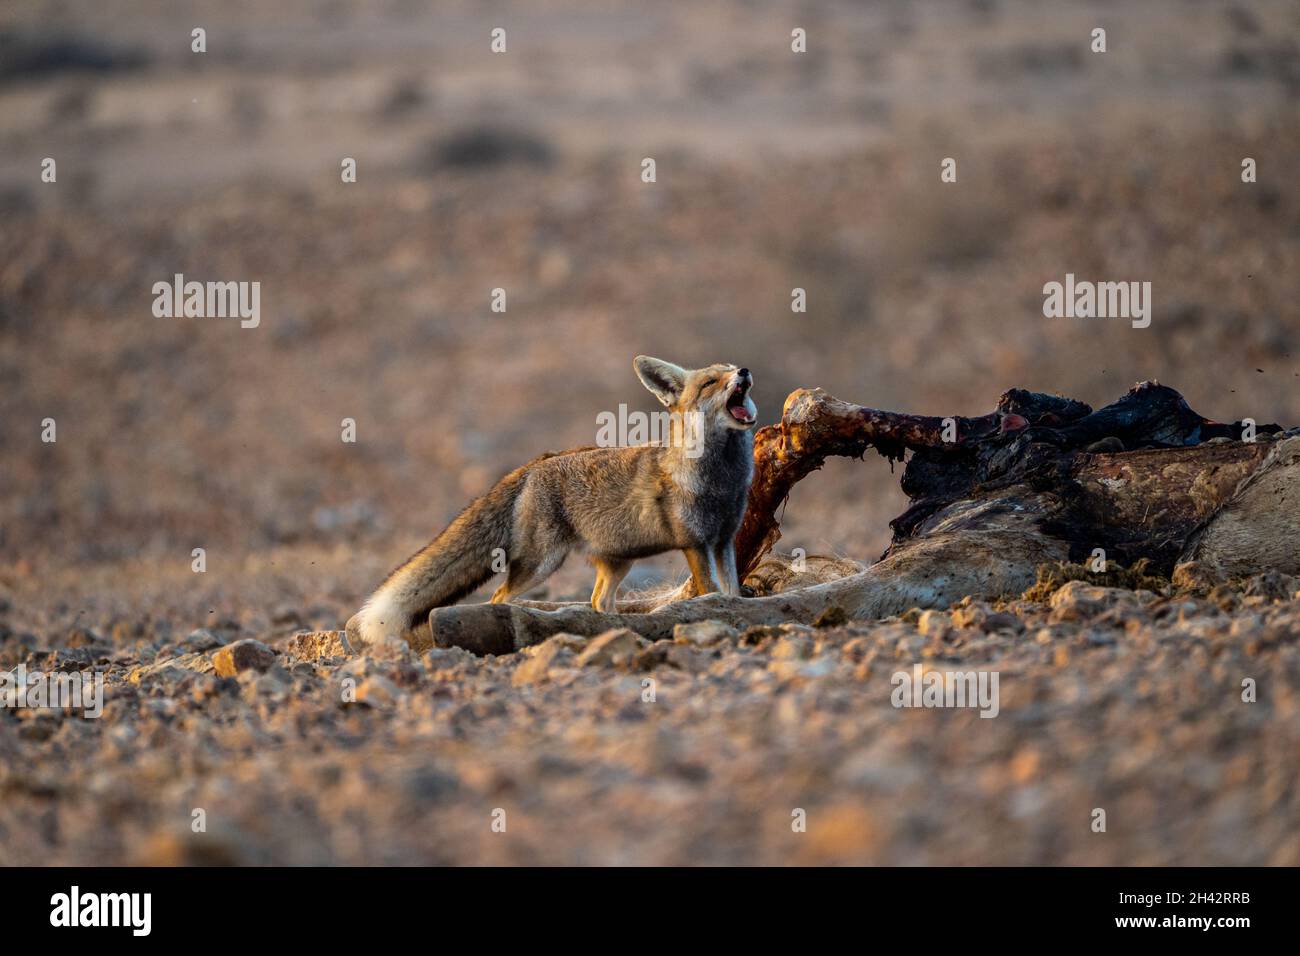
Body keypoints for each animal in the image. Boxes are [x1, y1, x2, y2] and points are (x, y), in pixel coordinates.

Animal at [345, 356, 758, 649]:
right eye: (710, 382)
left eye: (729, 369)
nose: (744, 371)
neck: (723, 483)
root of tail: (537, 461)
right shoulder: (695, 543)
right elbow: (712, 592)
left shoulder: (724, 540)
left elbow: (733, 591)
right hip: (540, 564)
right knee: (499, 595)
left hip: (616, 563)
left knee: (598, 601)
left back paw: (611, 629)